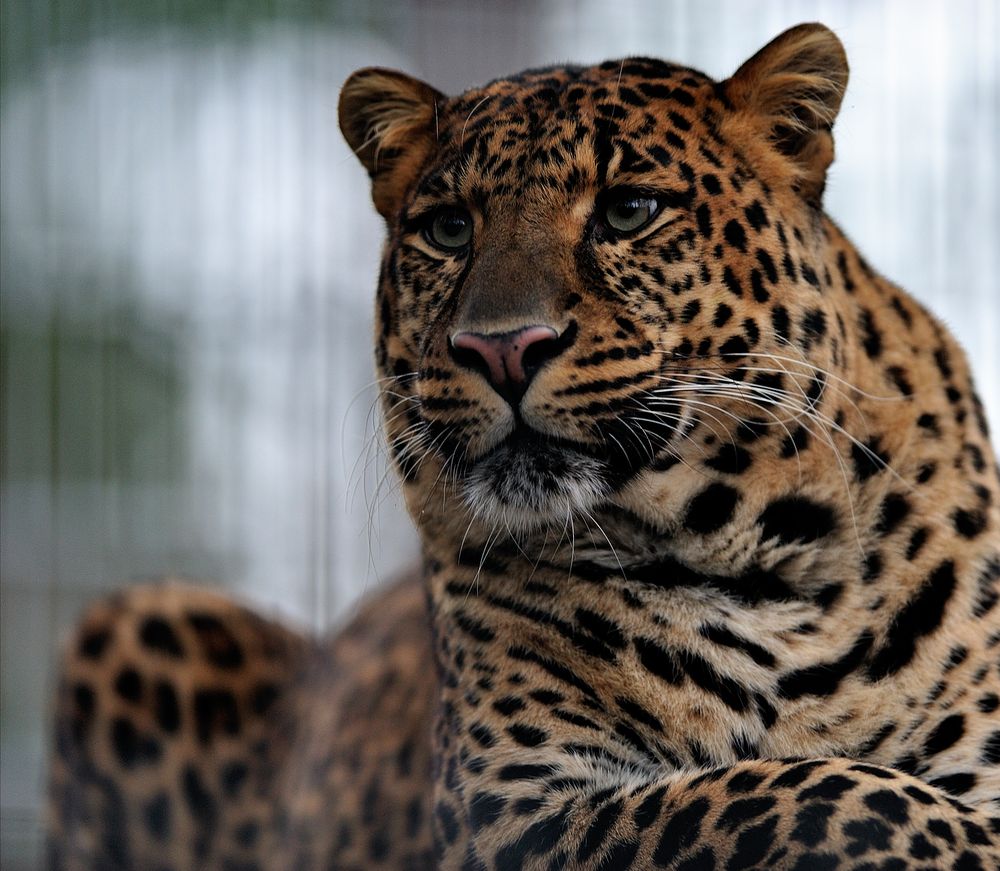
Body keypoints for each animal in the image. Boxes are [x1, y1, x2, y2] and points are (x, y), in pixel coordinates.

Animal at [46, 22, 999, 870]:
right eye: (449, 229)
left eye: (628, 210)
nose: (502, 348)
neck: (766, 575)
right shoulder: (513, 805)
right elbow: (803, 792)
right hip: (140, 619)